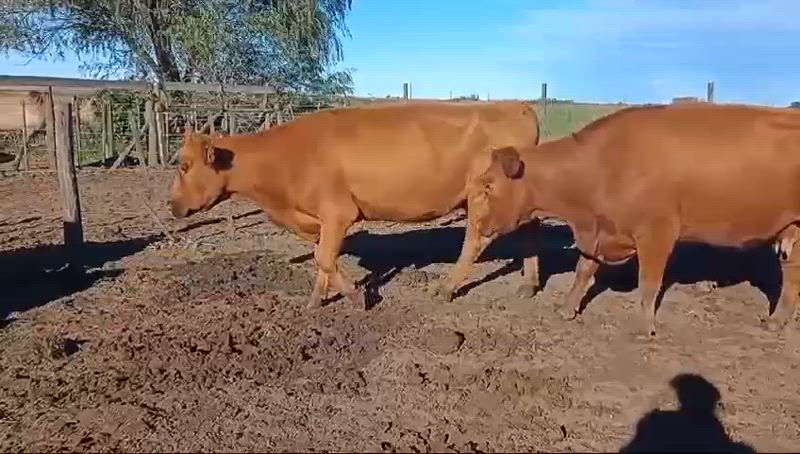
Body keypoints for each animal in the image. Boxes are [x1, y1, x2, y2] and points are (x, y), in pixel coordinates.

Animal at [168, 100, 541, 309]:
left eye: (184, 166)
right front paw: (316, 301)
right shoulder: (321, 219)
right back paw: (528, 284)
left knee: (475, 239)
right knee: (529, 230)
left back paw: (446, 288)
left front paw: (355, 297)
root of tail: (515, 104)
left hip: (482, 195)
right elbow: (323, 257)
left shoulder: (338, 212)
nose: (171, 205)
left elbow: (323, 257)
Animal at [459, 102, 800, 337]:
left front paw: (644, 327)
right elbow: (583, 271)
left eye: (488, 186)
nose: (479, 225)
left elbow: (648, 282)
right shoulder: (600, 232)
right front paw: (567, 309)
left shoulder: (657, 233)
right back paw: (777, 320)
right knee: (792, 275)